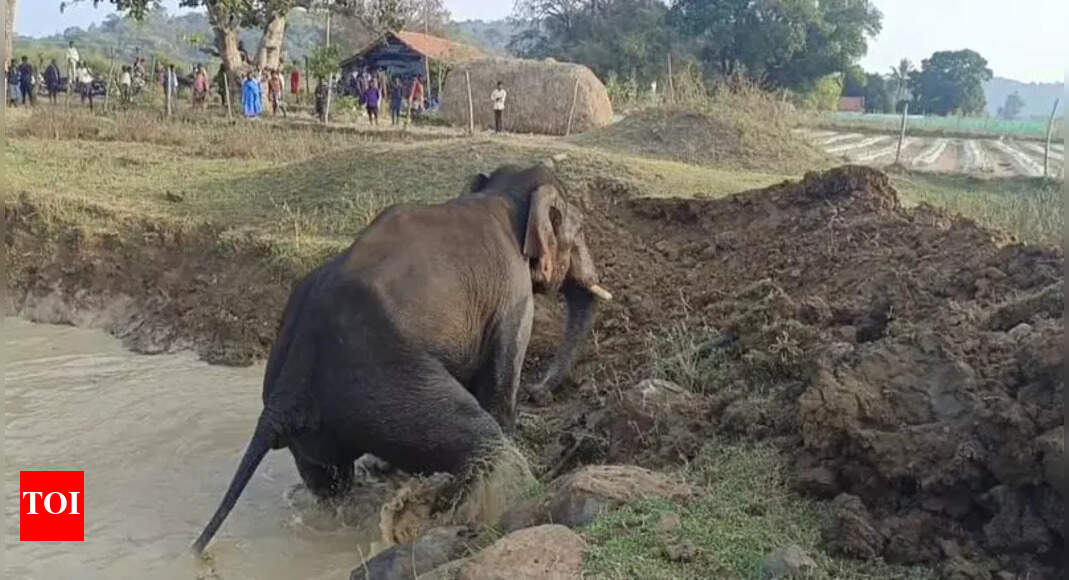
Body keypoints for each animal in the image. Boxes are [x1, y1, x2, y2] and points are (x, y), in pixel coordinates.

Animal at [192, 162, 612, 554]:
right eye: (580, 229)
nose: (538, 393)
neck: (500, 195)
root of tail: (282, 395)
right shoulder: (511, 295)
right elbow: (497, 381)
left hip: (319, 424)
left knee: (329, 477)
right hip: (385, 383)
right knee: (479, 438)